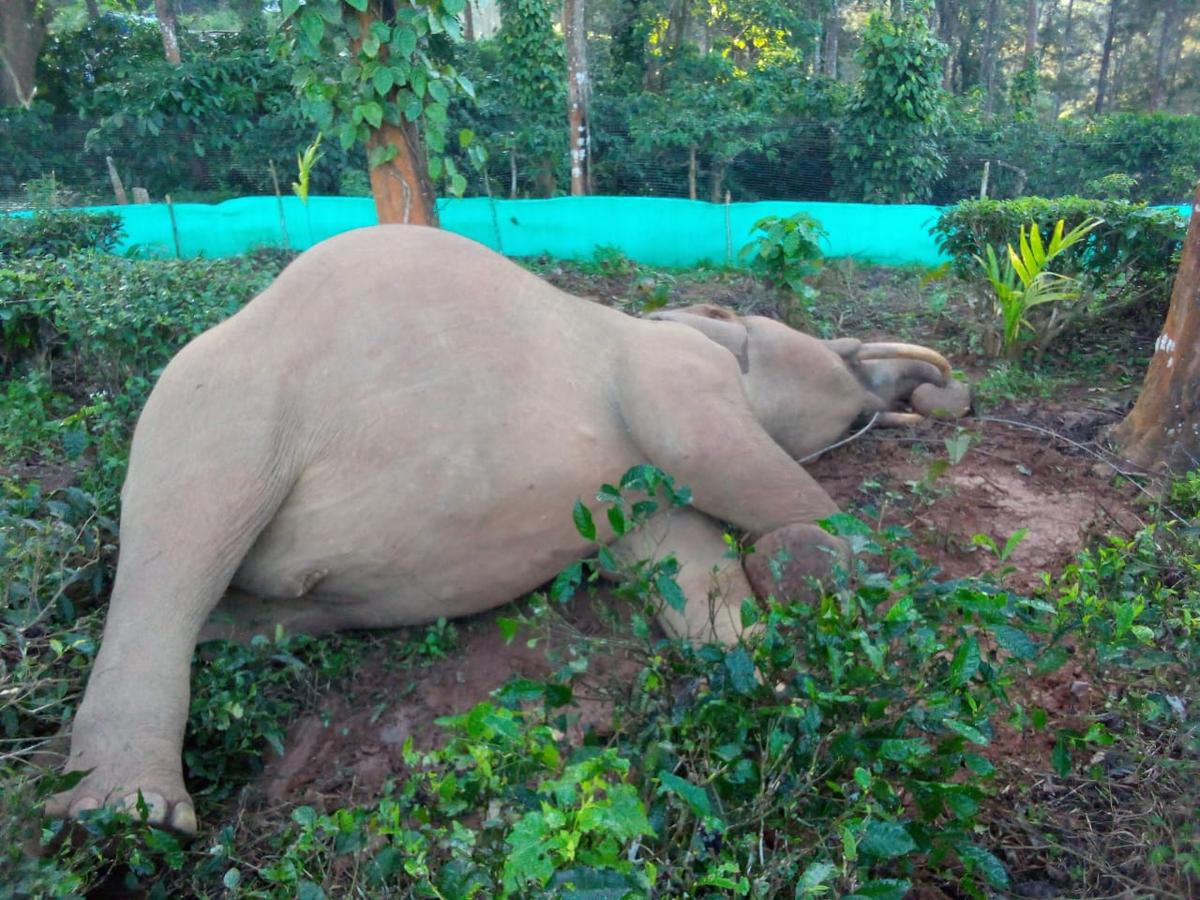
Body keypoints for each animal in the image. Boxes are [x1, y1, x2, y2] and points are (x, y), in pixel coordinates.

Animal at [47, 224, 970, 836]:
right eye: (841, 362)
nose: (946, 394)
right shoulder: (675, 376)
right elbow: (713, 450)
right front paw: (829, 567)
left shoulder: (643, 496)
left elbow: (684, 566)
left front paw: (771, 673)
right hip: (218, 413)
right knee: (176, 548)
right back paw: (129, 815)